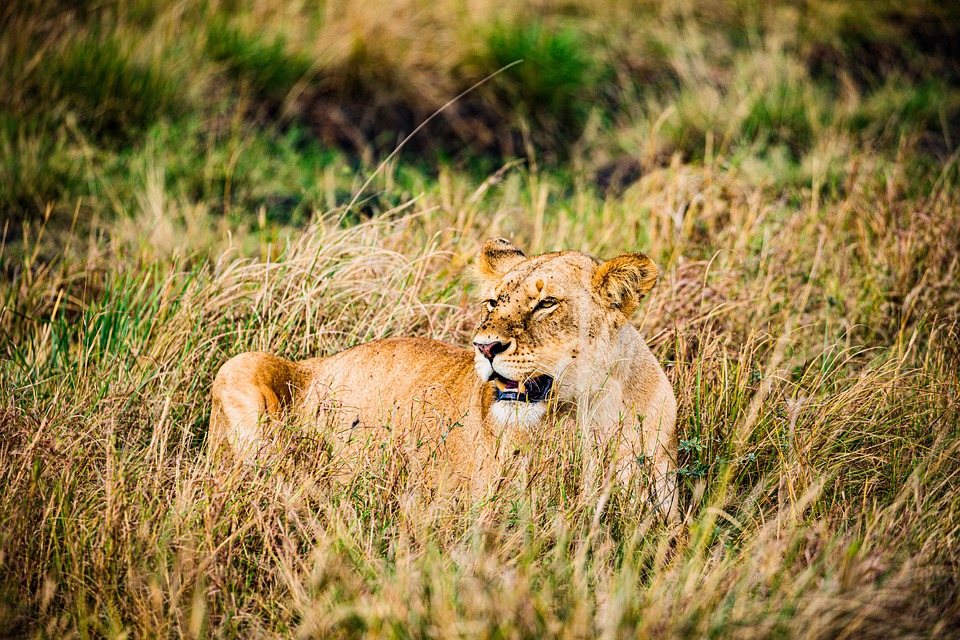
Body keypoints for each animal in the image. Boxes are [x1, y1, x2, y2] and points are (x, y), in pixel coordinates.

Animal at [209, 238, 679, 519]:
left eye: (546, 303)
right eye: (493, 303)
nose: (484, 347)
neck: (590, 412)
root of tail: (313, 363)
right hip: (241, 366)